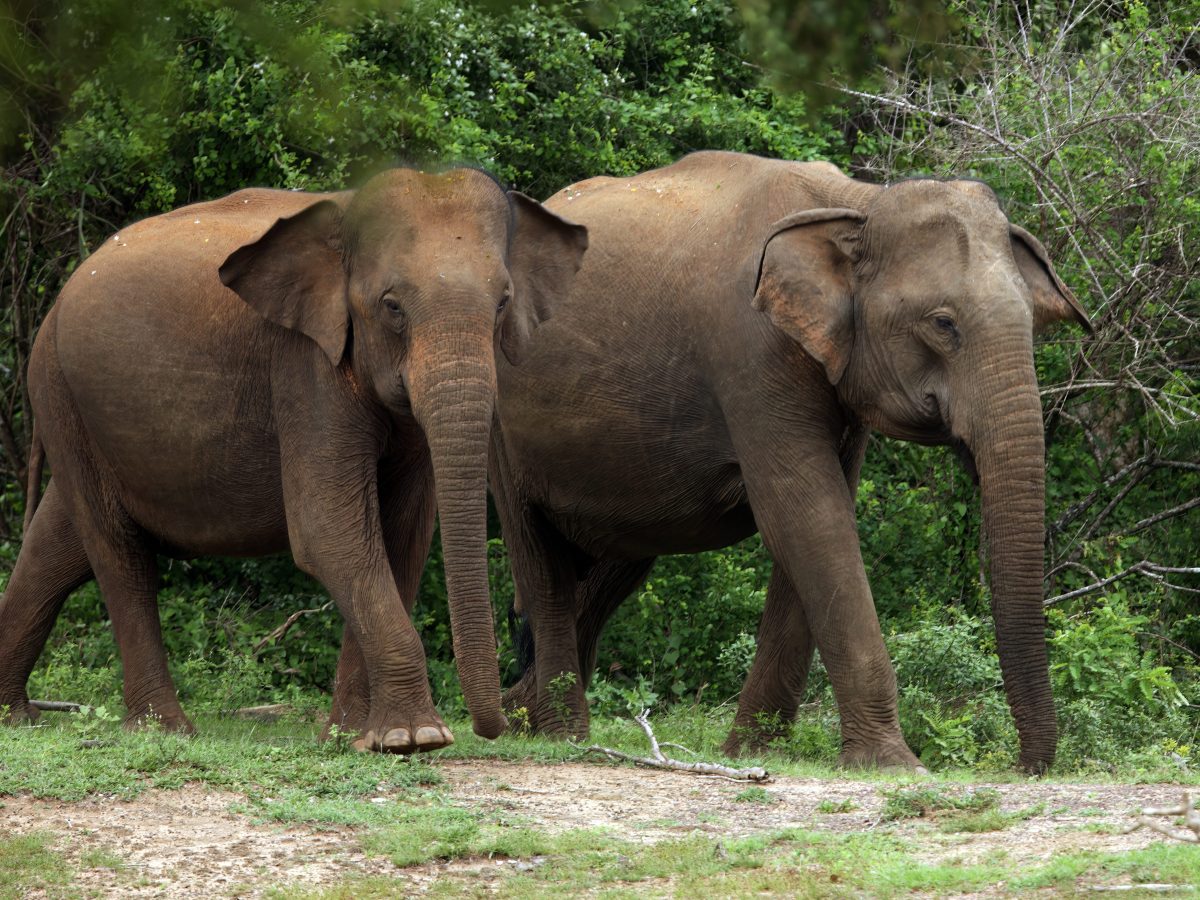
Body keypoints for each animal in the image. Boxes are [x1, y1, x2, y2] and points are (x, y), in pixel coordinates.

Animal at [0, 166, 587, 753]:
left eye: (503, 303)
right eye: (392, 306)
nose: (496, 727)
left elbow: (402, 539)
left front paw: (356, 737)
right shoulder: (304, 365)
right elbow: (329, 532)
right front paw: (415, 738)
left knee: (59, 544)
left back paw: (15, 717)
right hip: (58, 388)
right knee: (118, 552)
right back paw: (164, 729)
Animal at [472, 150, 1088, 773]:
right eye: (943, 324)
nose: (1023, 767)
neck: (860, 205)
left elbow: (814, 519)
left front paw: (751, 749)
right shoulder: (752, 350)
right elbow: (807, 514)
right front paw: (893, 765)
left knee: (616, 562)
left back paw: (525, 712)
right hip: (500, 413)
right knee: (539, 552)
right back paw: (559, 734)